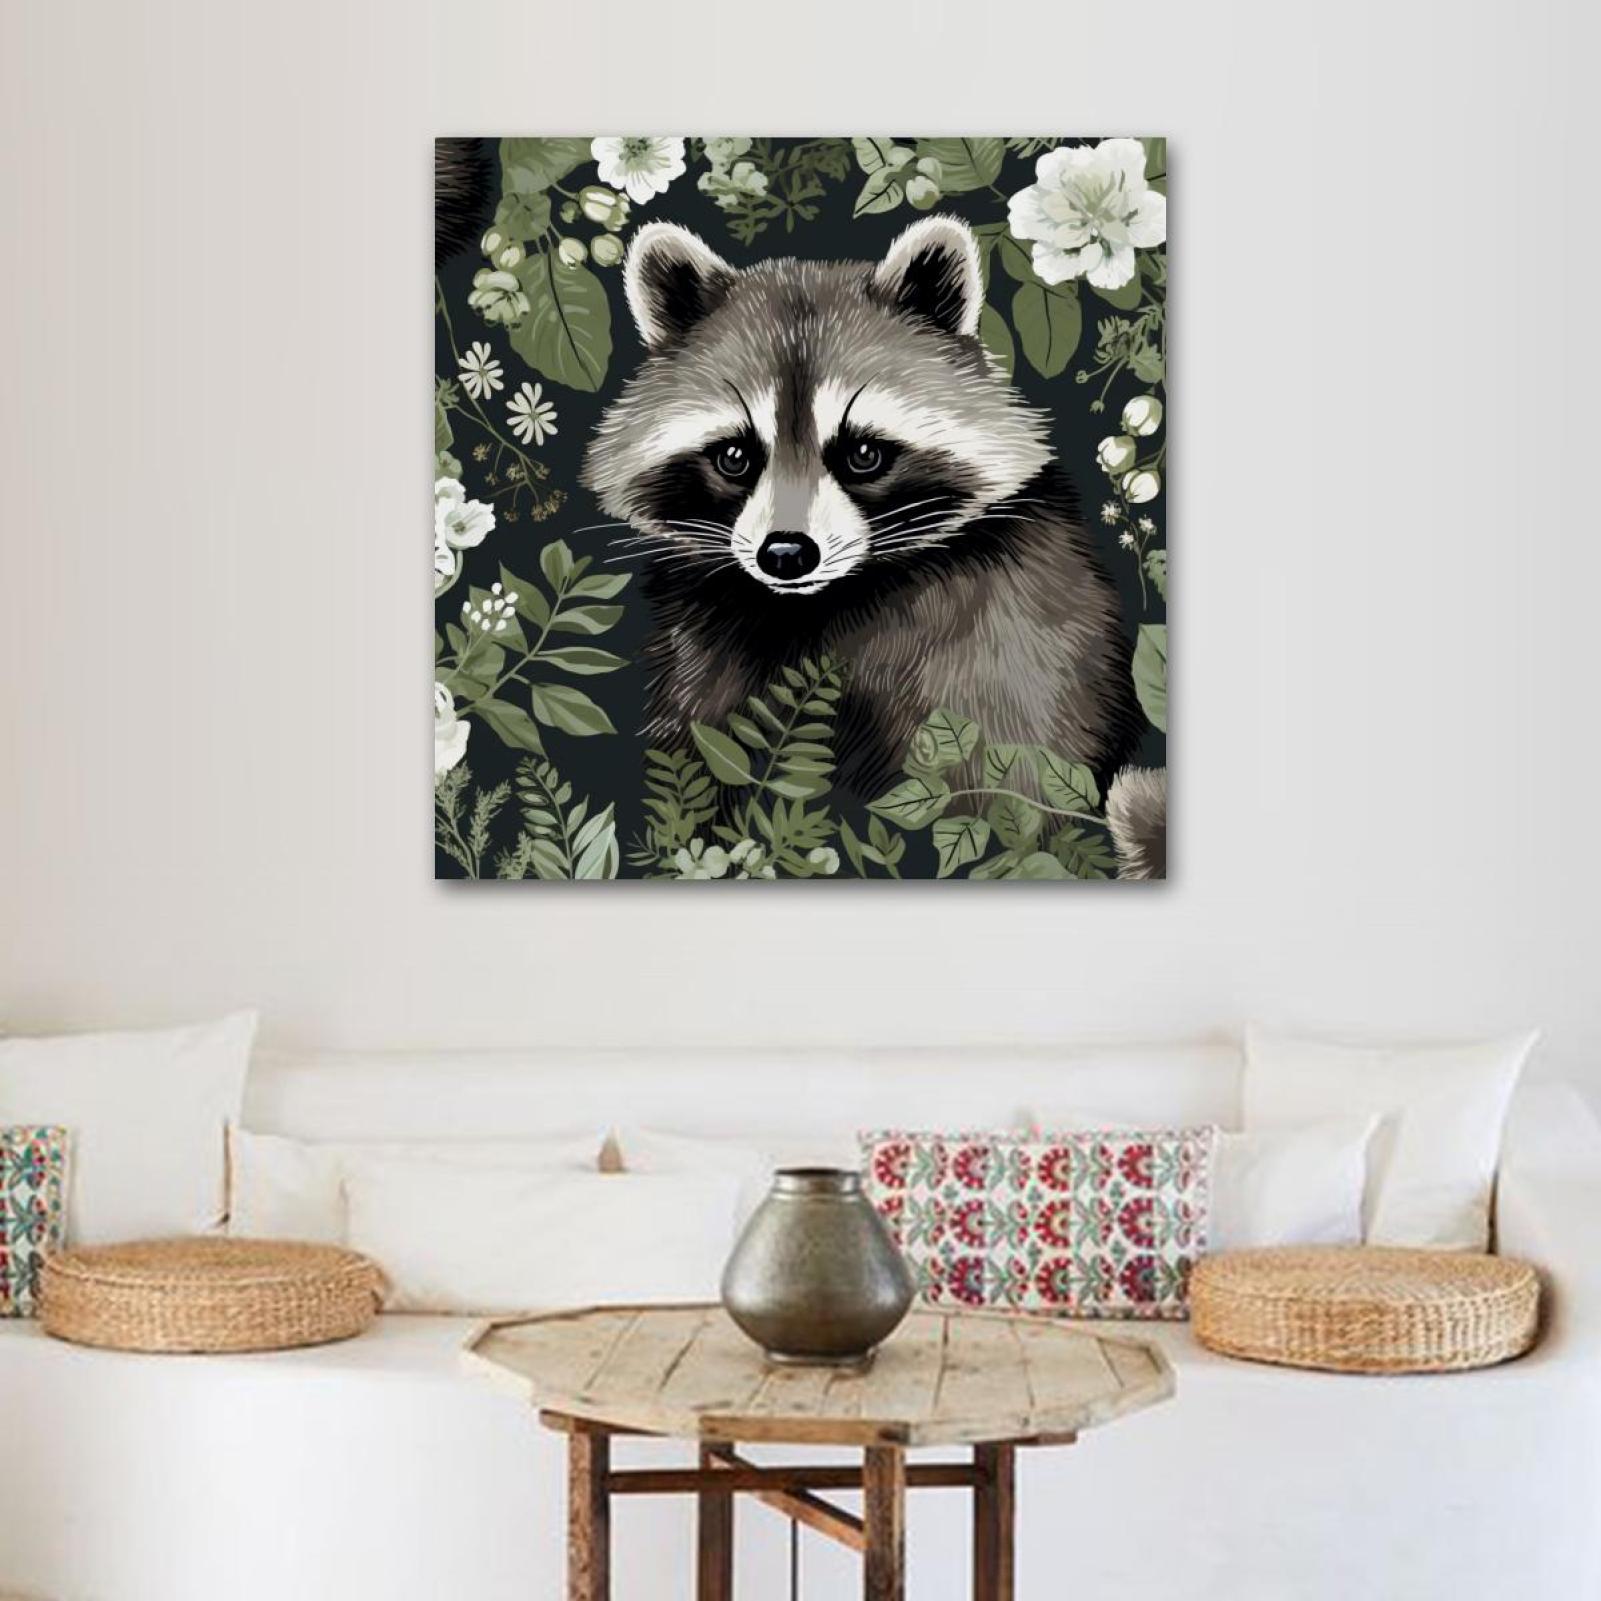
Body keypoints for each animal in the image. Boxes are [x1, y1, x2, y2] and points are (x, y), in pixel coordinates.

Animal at [582, 214, 1150, 824]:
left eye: (863, 454)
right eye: (734, 457)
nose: (786, 554)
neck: (814, 610)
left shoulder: (1009, 636)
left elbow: (1009, 765)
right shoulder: (703, 654)